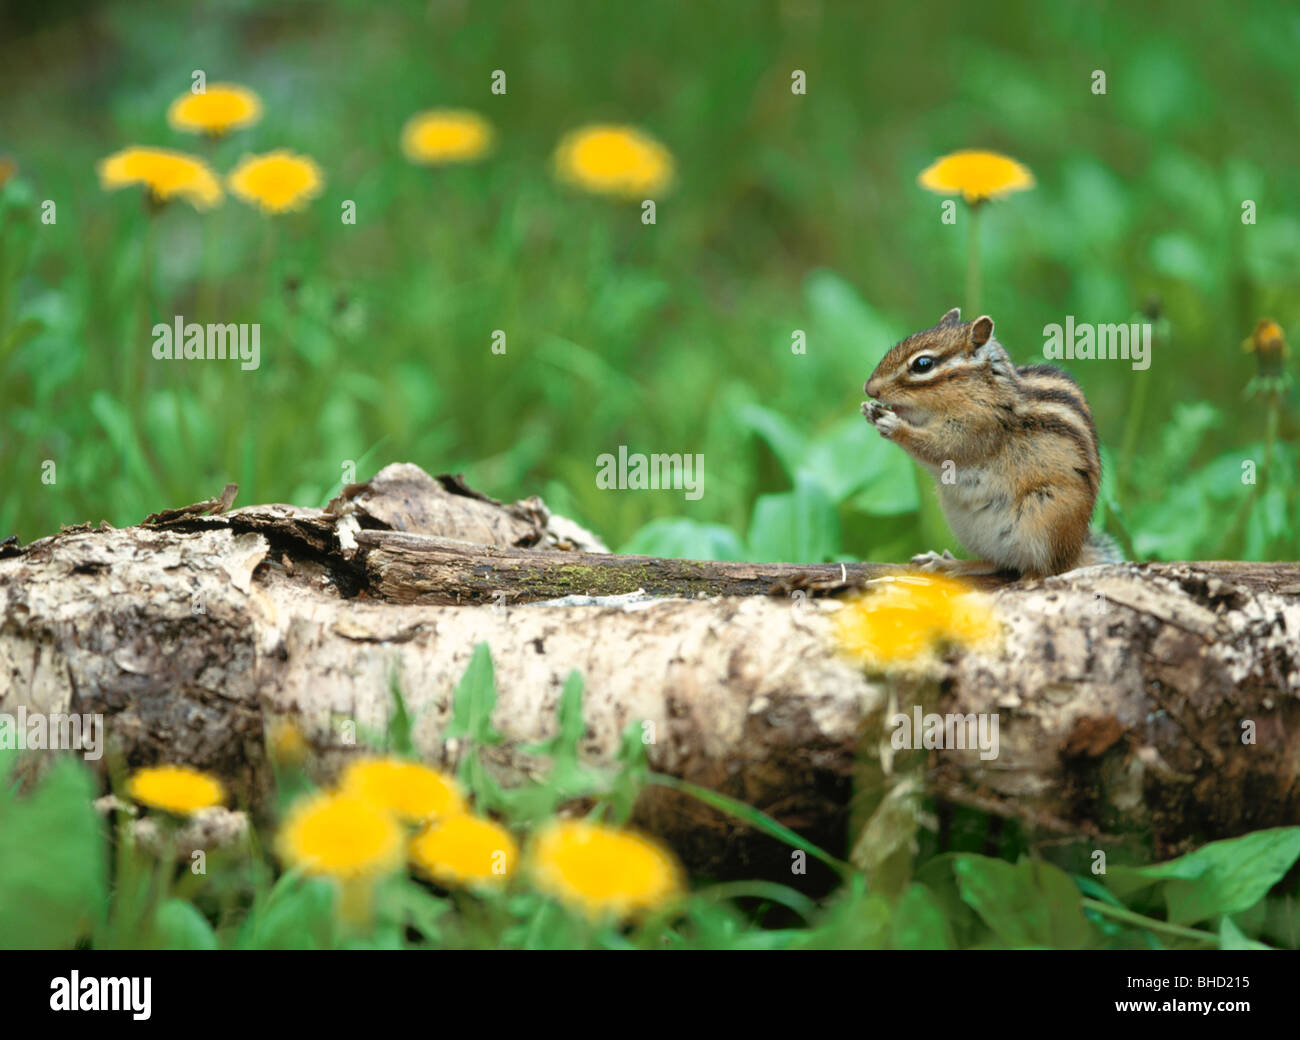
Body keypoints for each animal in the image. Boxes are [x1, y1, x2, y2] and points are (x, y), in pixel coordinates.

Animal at [861, 307, 1121, 579]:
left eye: (923, 364)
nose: (870, 389)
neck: (978, 390)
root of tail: (1074, 553)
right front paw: (871, 410)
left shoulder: (978, 428)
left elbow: (940, 448)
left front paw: (894, 425)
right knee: (996, 562)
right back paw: (950, 564)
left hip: (1044, 519)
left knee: (1045, 569)